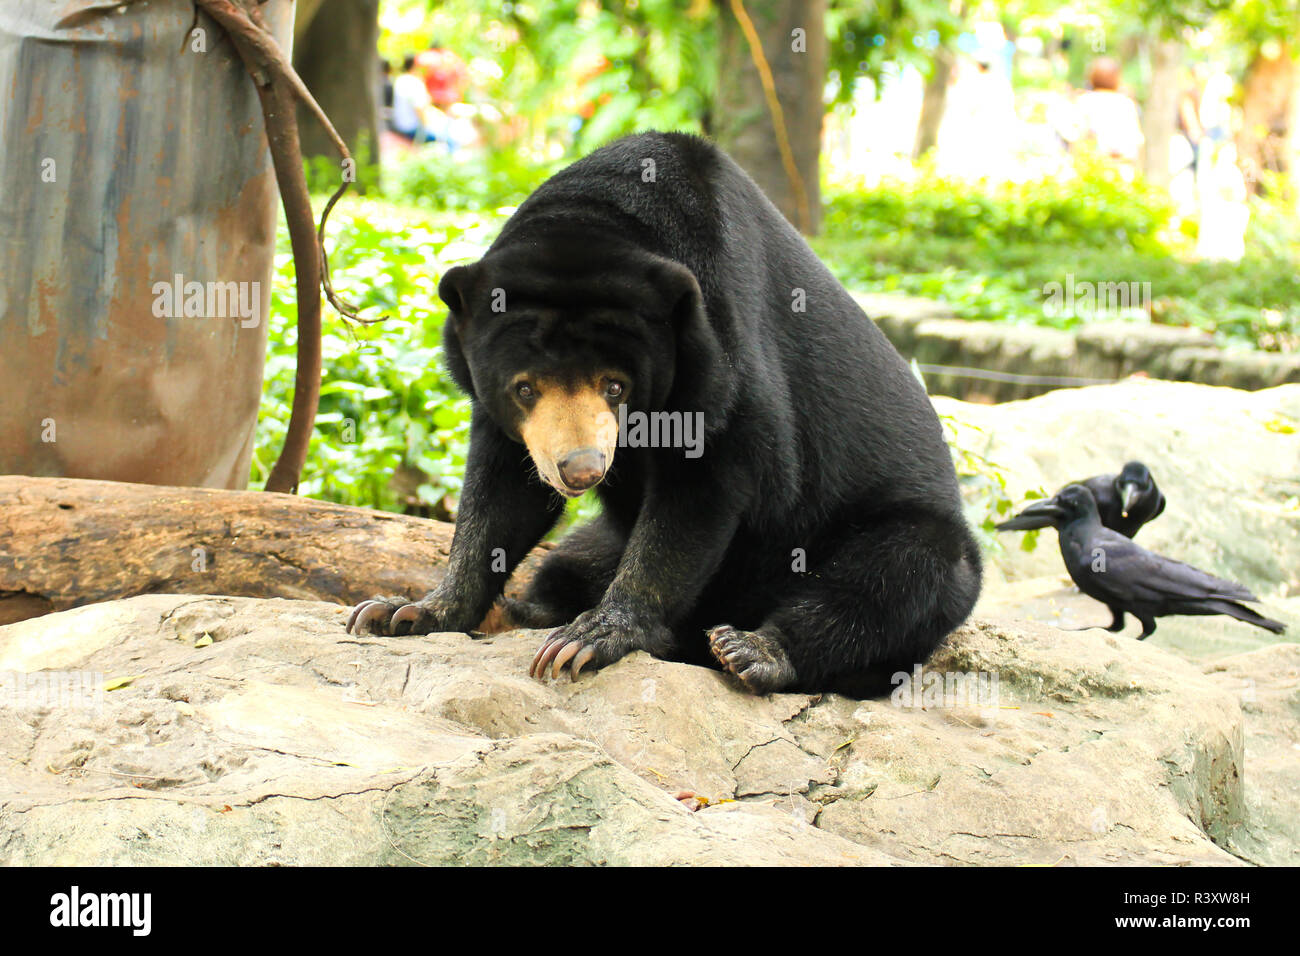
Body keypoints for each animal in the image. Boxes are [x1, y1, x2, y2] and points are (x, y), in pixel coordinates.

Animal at [347, 131, 983, 697]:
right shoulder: (509, 420)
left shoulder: (725, 351)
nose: (580, 469)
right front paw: (405, 612)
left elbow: (704, 488)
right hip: (600, 540)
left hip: (911, 546)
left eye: (615, 385)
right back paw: (529, 611)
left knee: (898, 573)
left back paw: (749, 649)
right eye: (525, 388)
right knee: (566, 563)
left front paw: (587, 640)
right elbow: (502, 493)